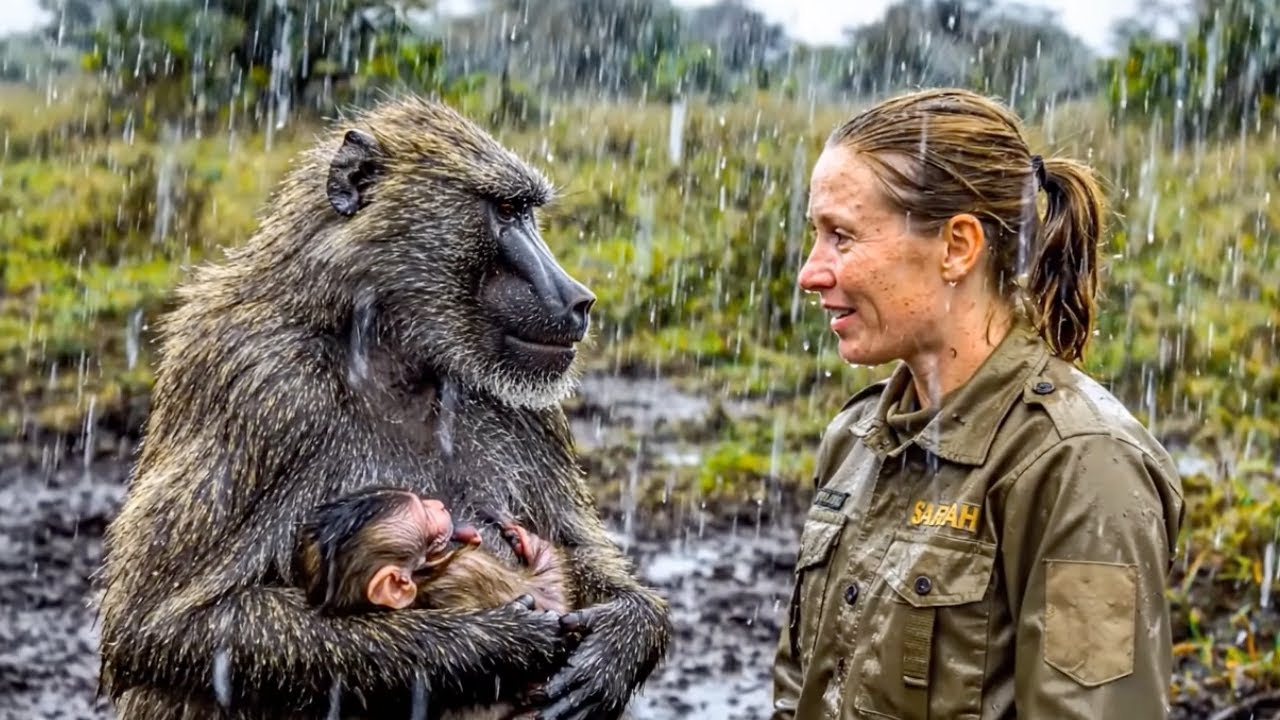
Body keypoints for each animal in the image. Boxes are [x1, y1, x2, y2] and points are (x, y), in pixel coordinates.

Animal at [94, 95, 672, 720]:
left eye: (526, 211)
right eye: (504, 210)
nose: (579, 299)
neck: (391, 352)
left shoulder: (527, 404)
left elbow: (580, 554)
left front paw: (620, 639)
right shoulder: (257, 382)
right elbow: (162, 626)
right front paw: (498, 640)